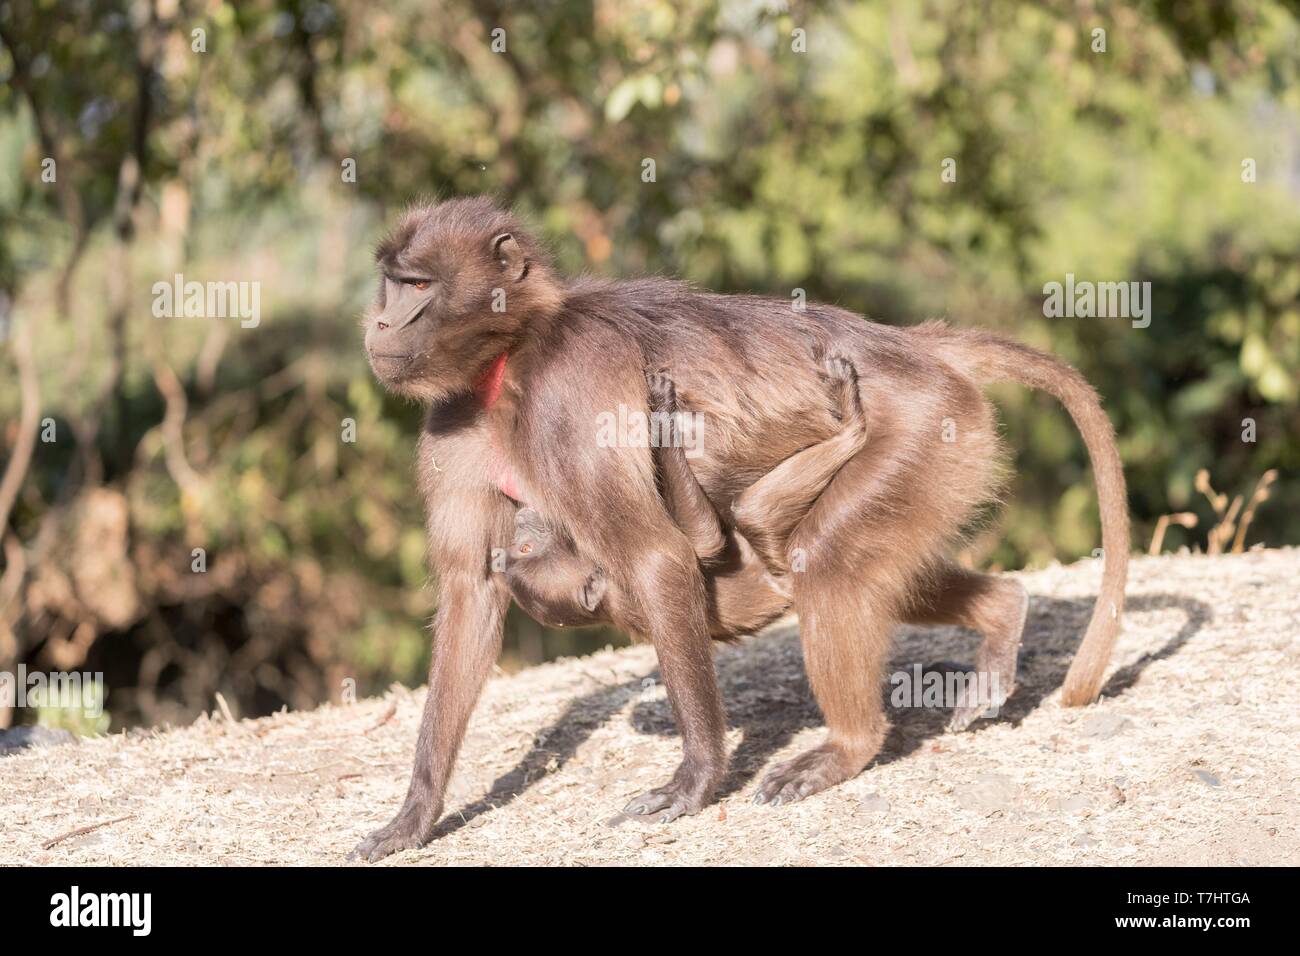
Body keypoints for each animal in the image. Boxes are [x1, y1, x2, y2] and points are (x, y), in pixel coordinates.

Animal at [503, 357, 870, 641]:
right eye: (525, 548)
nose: (520, 522)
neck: (608, 600)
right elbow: (705, 539)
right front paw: (661, 411)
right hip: (779, 559)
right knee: (751, 513)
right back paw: (852, 424)